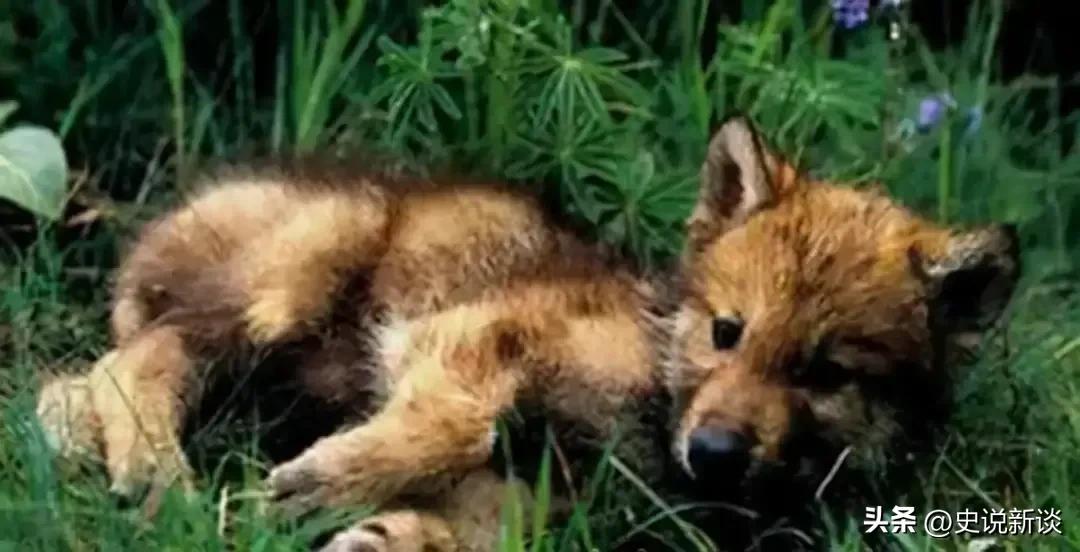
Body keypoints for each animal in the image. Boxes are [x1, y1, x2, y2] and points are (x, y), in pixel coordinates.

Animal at [36, 117, 1018, 551]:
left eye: (826, 373)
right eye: (727, 330)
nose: (715, 454)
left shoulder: (537, 500)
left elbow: (458, 522)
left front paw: (368, 529)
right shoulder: (472, 335)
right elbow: (453, 424)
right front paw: (313, 485)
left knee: (96, 368)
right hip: (314, 259)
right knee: (138, 357)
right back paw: (150, 469)